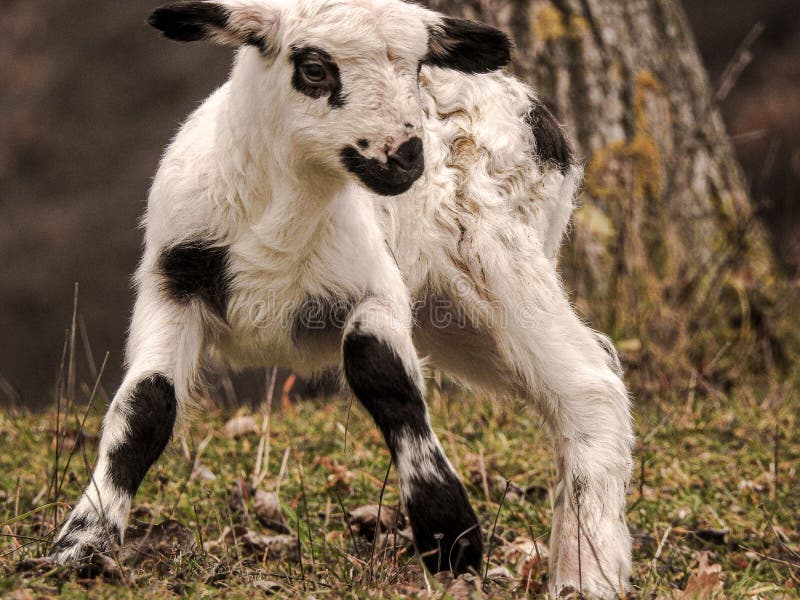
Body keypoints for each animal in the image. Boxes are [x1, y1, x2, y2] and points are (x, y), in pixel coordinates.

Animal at [49, 1, 635, 597]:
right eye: (313, 68)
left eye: (417, 66)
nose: (405, 156)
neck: (284, 216)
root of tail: (540, 117)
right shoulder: (171, 285)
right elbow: (146, 405)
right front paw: (80, 547)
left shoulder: (376, 286)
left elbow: (380, 371)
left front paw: (448, 531)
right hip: (456, 318)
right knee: (586, 370)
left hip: (498, 254)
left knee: (590, 383)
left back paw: (586, 576)